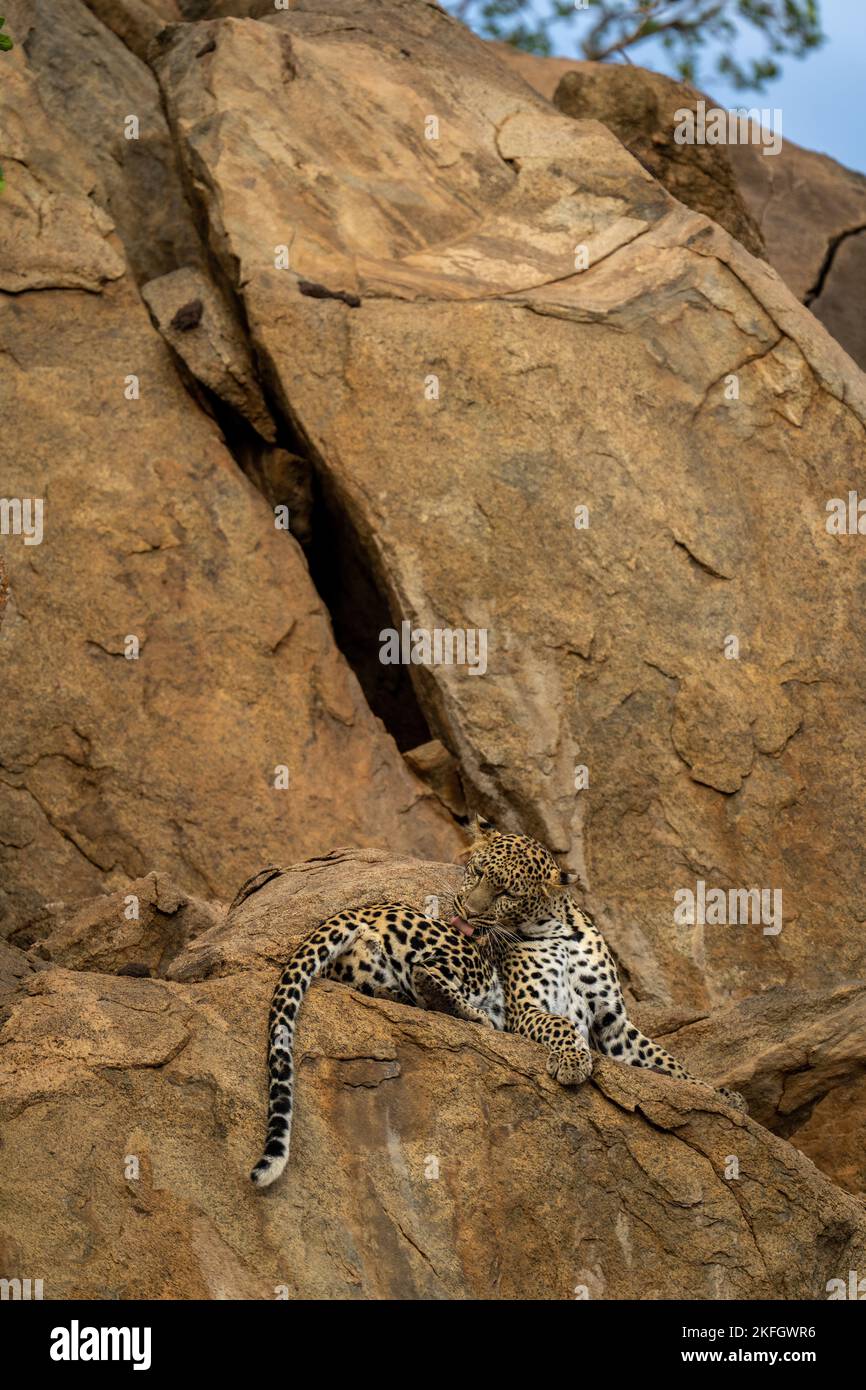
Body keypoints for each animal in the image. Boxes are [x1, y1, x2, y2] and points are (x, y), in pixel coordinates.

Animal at [250, 903, 504, 1188]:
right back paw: (475, 1015)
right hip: (466, 965)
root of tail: (365, 910)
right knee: (426, 972)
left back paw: (401, 997)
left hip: (364, 973)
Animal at [450, 816, 747, 1112]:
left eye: (508, 894)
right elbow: (559, 1023)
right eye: (477, 871)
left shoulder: (612, 1021)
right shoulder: (523, 1008)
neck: (558, 931)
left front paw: (715, 1094)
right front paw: (573, 1061)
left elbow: (665, 1059)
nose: (468, 911)